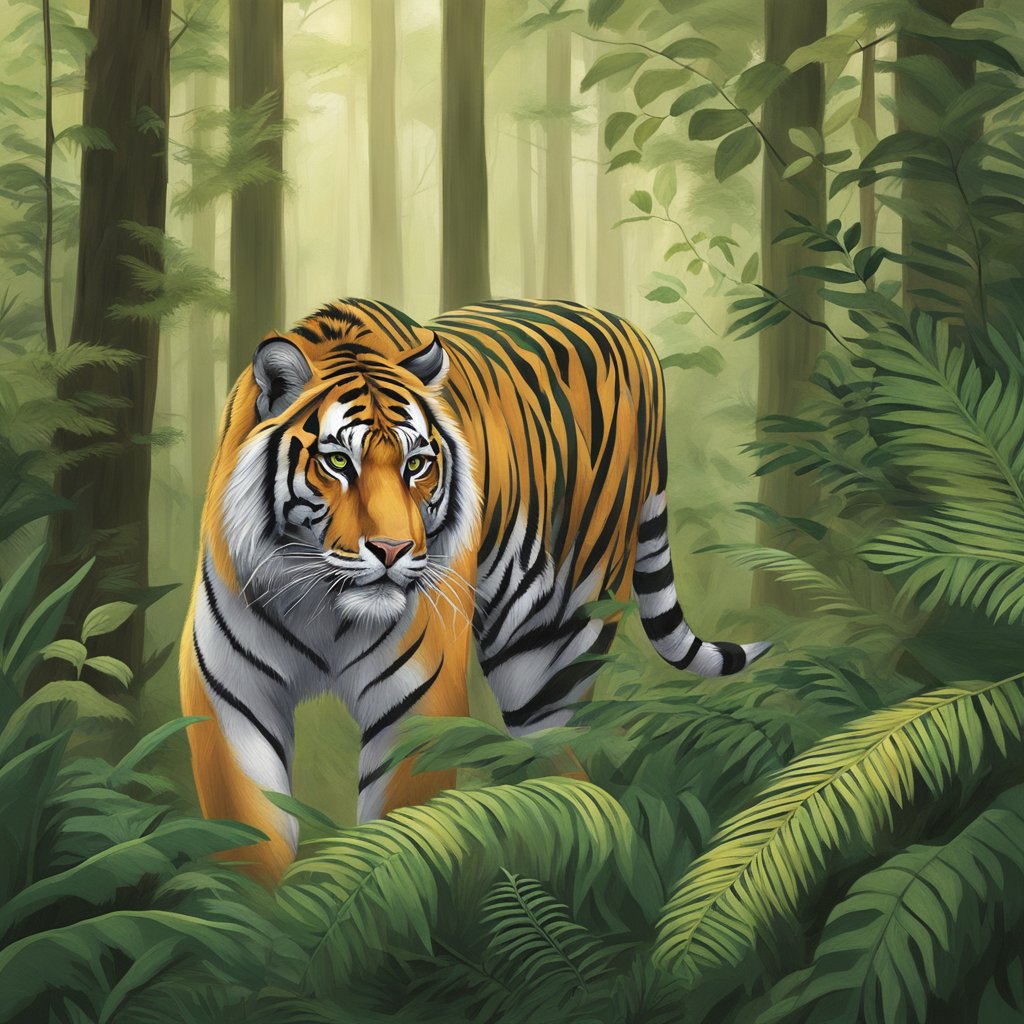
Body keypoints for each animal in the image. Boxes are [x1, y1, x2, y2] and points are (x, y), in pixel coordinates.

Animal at [180, 297, 770, 882]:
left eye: (417, 464)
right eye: (338, 461)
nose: (392, 550)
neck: (320, 601)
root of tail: (629, 330)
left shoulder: (416, 700)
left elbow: (393, 837)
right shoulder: (230, 696)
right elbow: (251, 841)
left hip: (552, 652)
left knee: (567, 770)